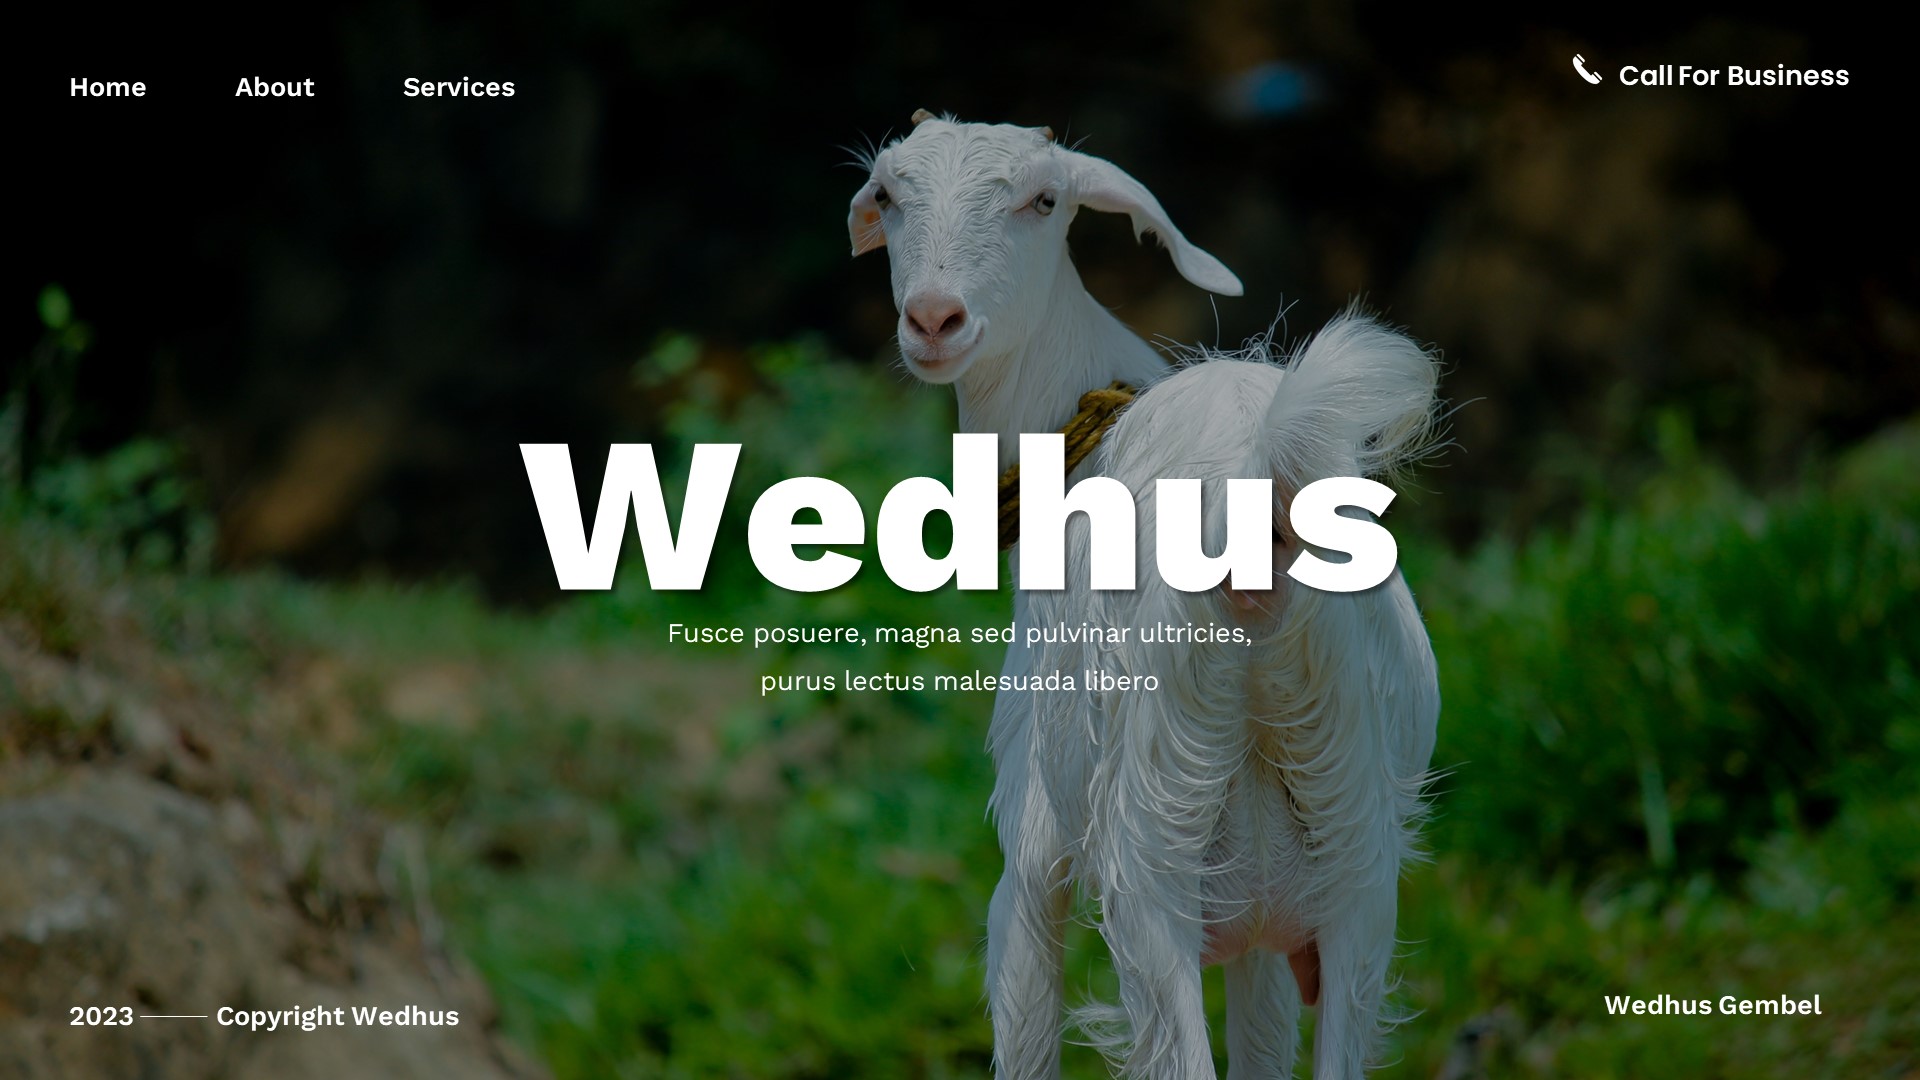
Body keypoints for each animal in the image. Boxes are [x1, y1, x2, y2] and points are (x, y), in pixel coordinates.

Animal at [849, 112, 1441, 1078]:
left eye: (1044, 199)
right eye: (890, 195)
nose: (934, 318)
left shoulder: (1031, 832)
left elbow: (1024, 1022)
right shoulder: (1266, 932)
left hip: (1148, 834)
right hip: (1354, 849)